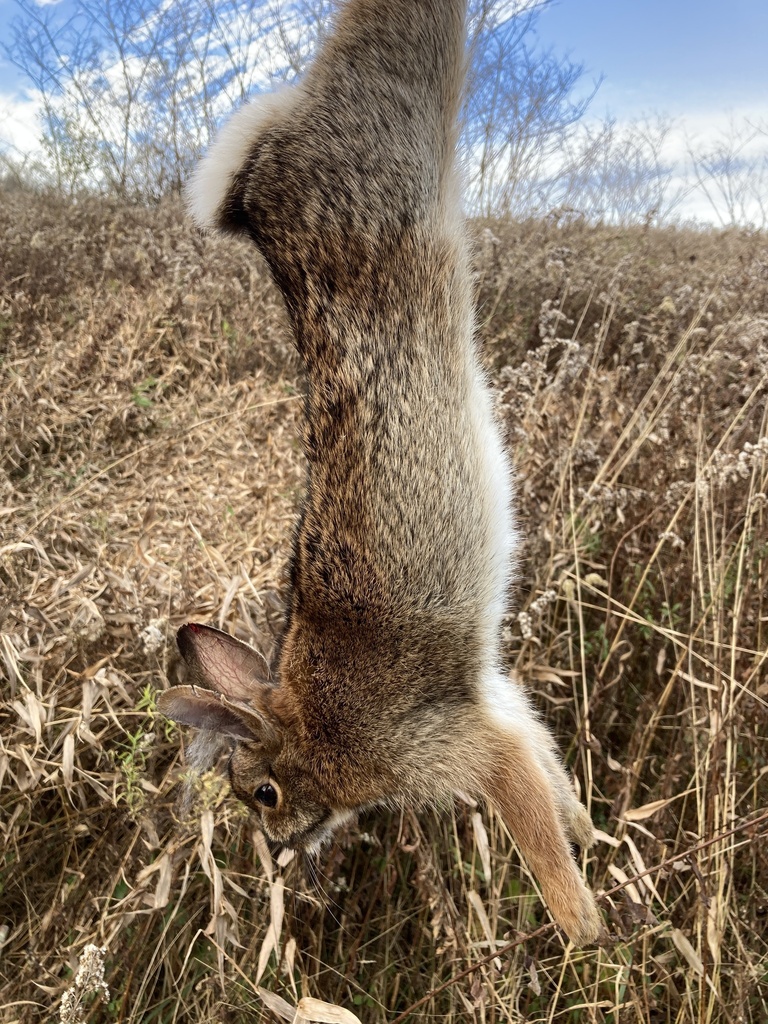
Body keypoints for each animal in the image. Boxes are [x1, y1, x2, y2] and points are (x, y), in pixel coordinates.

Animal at [158, 0, 601, 946]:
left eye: (262, 792)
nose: (281, 851)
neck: (315, 730)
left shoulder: (451, 748)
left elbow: (526, 813)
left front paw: (584, 928)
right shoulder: (491, 701)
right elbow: (544, 760)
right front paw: (592, 834)